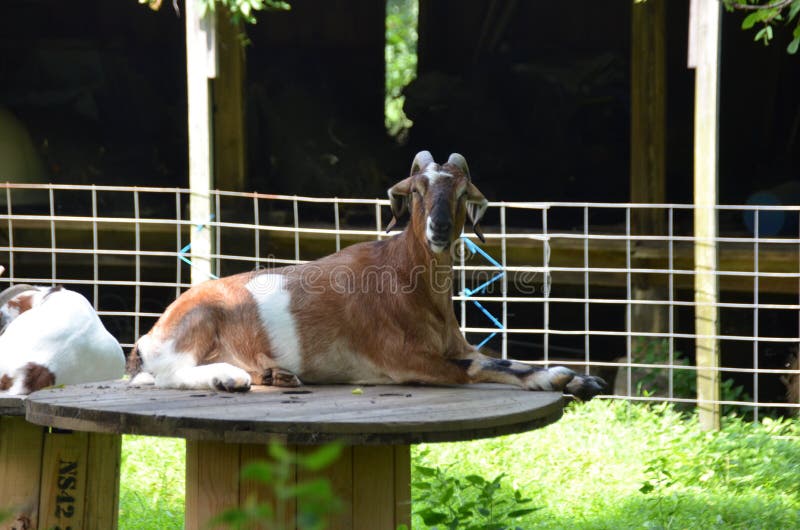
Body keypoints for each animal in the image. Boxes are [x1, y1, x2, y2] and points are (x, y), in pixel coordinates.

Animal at [128, 151, 606, 400]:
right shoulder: (406, 359)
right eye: (417, 189)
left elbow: (493, 355)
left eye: (461, 192)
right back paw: (229, 378)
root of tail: (152, 334)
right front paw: (559, 377)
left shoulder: (455, 343)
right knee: (169, 373)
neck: (404, 280)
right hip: (200, 322)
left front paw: (582, 379)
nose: (439, 229)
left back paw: (276, 376)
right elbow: (476, 367)